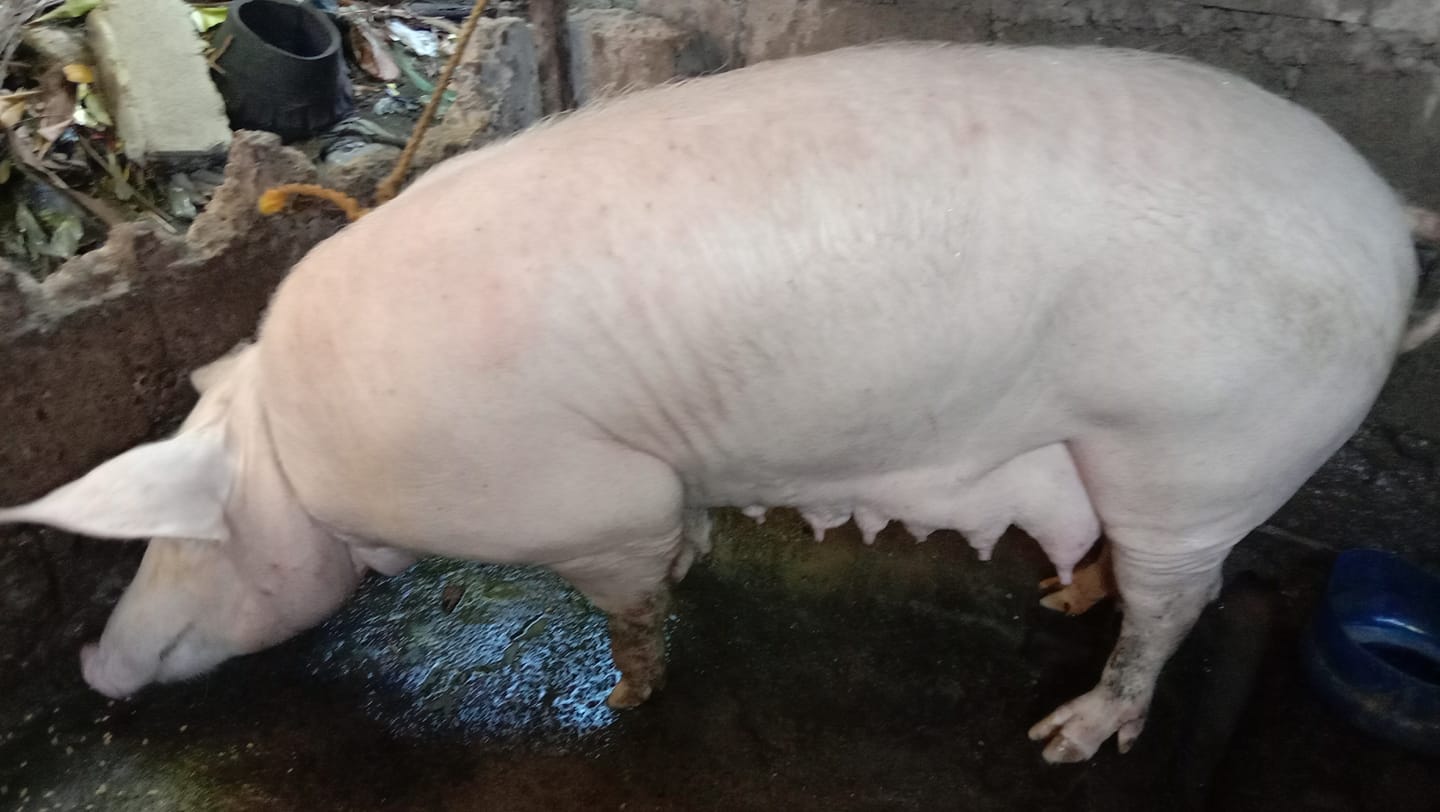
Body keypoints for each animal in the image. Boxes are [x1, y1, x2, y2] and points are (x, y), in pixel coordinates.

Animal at [1, 43, 1432, 763]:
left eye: (191, 538)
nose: (97, 661)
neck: (306, 458)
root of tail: (1385, 219)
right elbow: (684, 533)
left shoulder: (587, 503)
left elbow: (636, 595)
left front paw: (629, 703)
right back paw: (1058, 596)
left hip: (1203, 451)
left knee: (1178, 600)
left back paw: (1068, 733)